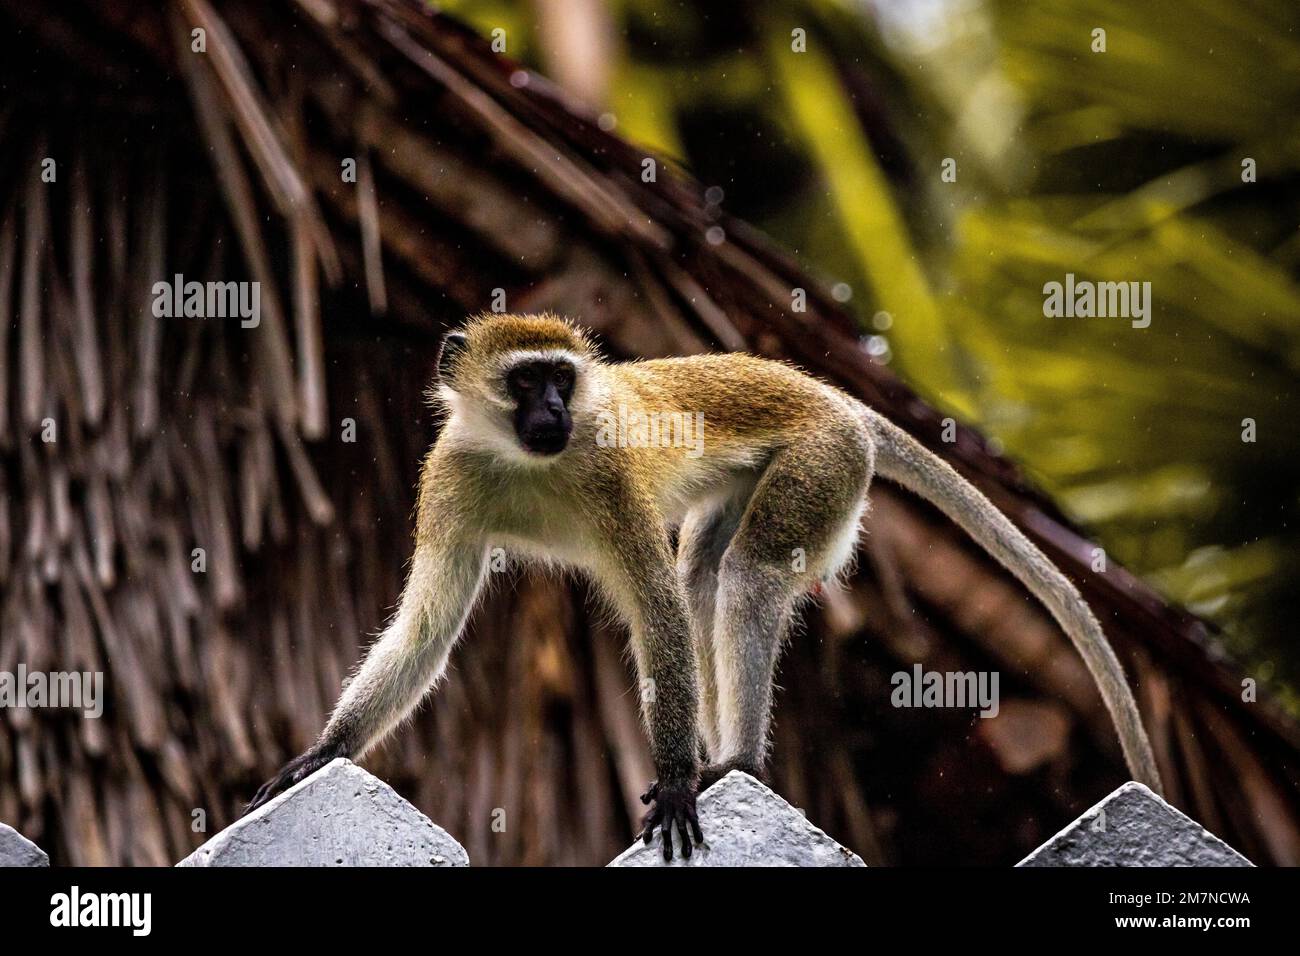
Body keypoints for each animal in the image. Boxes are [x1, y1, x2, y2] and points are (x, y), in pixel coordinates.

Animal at [246, 312, 1163, 860]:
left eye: (563, 380)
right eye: (525, 381)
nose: (554, 413)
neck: (526, 459)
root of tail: (832, 396)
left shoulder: (609, 476)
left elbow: (655, 611)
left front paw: (681, 780)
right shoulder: (451, 478)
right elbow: (429, 628)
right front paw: (324, 751)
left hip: (821, 463)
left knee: (744, 579)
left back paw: (733, 764)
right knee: (703, 577)